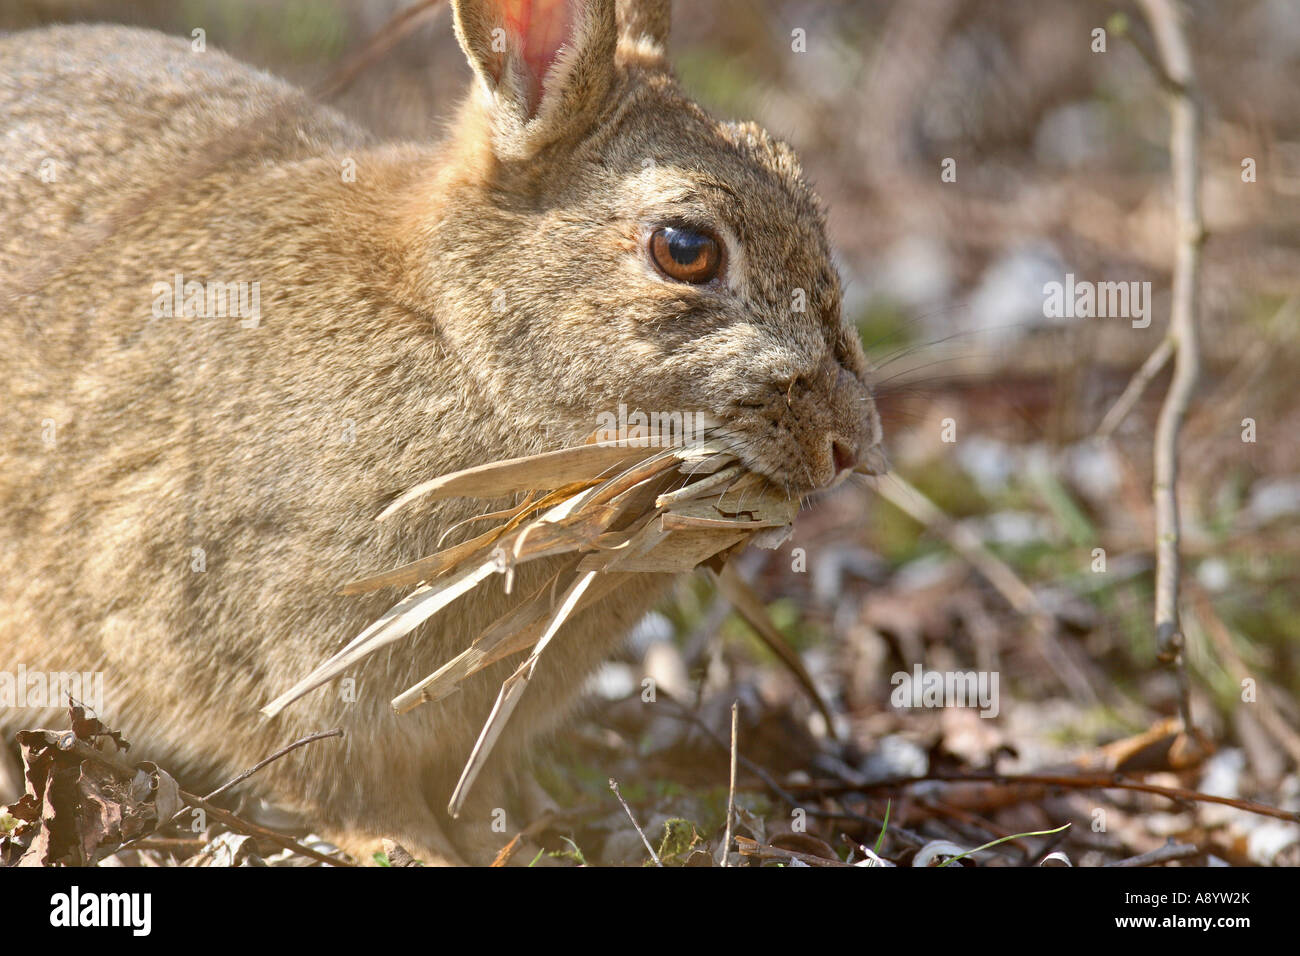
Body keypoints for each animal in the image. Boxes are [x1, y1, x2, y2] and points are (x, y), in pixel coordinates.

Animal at [0, 0, 882, 865]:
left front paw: (515, 840)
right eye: (686, 249)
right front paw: (412, 848)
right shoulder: (273, 652)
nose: (848, 445)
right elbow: (346, 787)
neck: (460, 341)